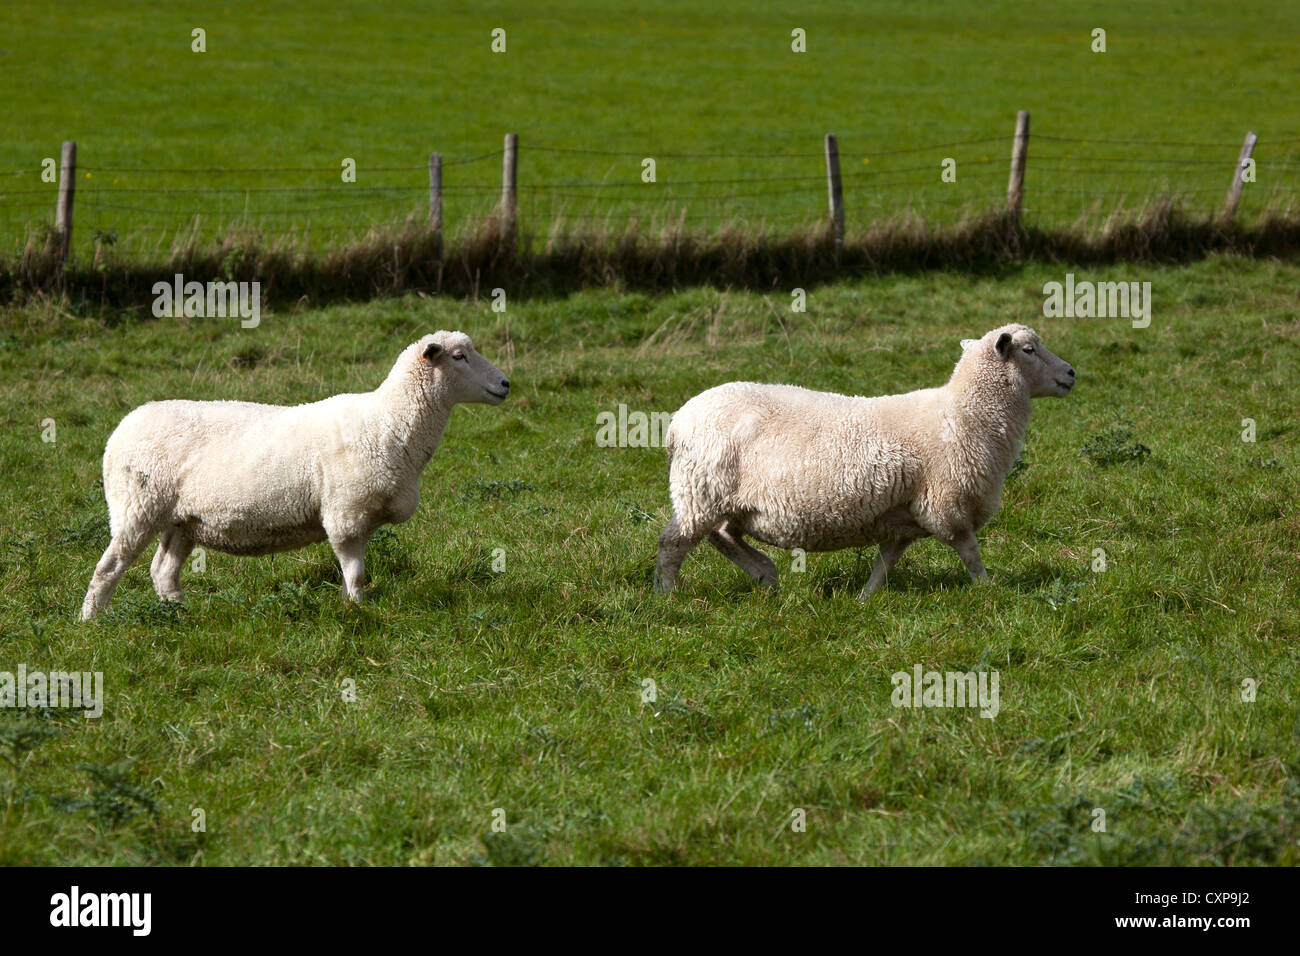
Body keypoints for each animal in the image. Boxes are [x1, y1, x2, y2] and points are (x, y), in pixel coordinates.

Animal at [80, 331, 510, 619]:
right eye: (459, 356)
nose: (505, 384)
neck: (388, 422)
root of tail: (123, 427)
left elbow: (352, 576)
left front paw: (351, 609)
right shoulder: (345, 515)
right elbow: (356, 575)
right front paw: (358, 612)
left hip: (181, 519)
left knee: (163, 573)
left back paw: (181, 616)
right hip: (137, 507)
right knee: (107, 569)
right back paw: (91, 622)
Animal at [654, 323, 1074, 598]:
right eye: (1029, 350)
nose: (1071, 373)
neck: (963, 415)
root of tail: (678, 421)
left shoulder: (904, 516)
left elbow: (885, 563)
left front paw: (865, 599)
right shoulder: (947, 503)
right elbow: (969, 552)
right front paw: (987, 589)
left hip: (723, 498)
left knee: (722, 533)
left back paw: (765, 575)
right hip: (701, 489)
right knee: (674, 542)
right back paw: (668, 595)